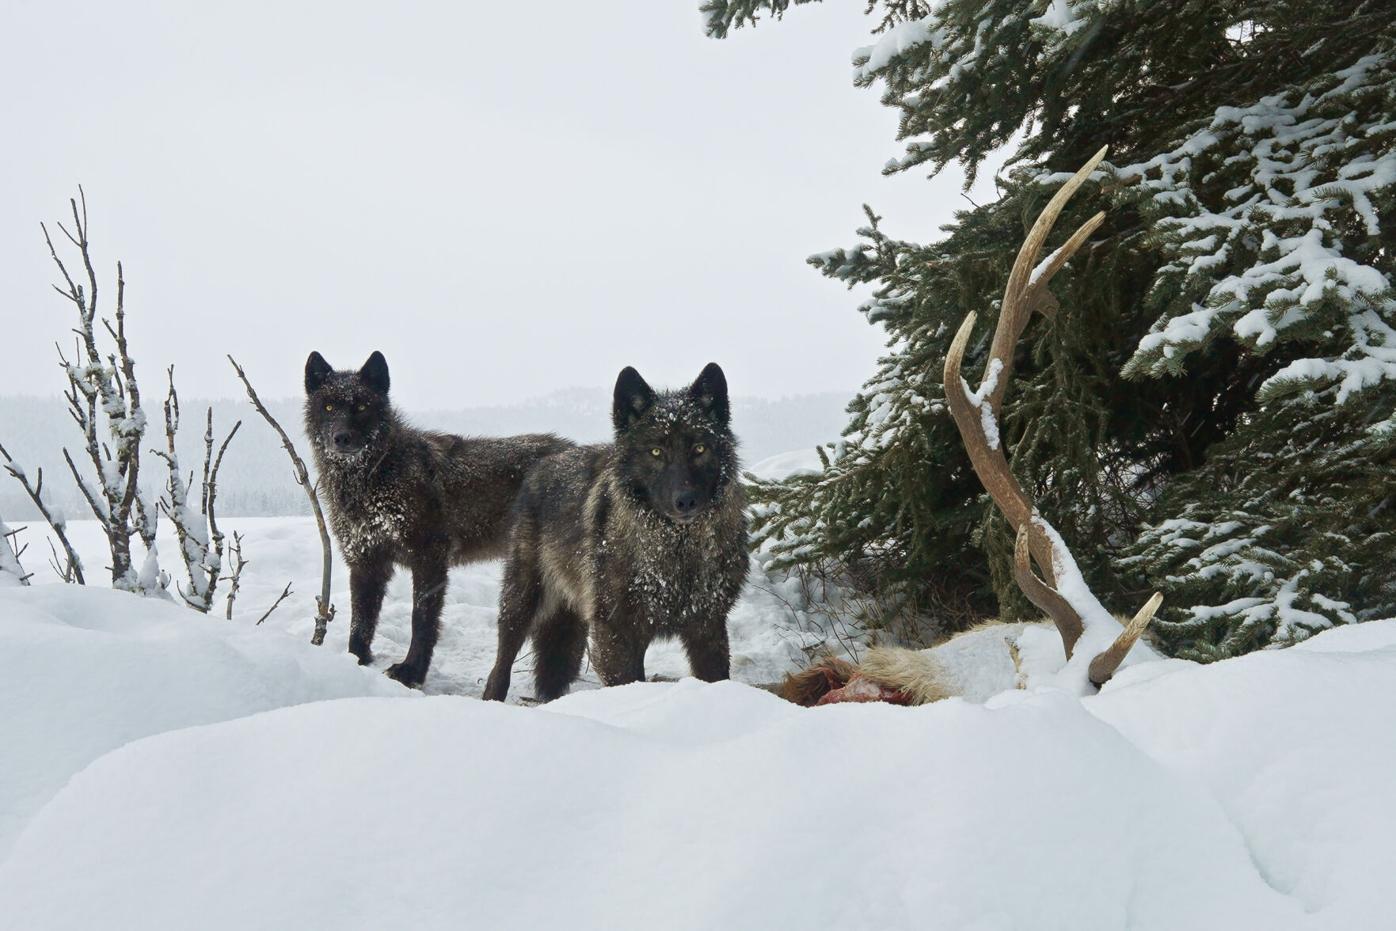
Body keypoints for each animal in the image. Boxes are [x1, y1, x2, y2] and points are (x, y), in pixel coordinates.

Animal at [304, 351, 573, 687]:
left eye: (362, 406)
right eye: (328, 406)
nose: (341, 438)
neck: (376, 475)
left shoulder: (429, 560)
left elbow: (421, 622)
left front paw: (411, 672)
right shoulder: (366, 562)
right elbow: (360, 622)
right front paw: (355, 662)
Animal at [482, 362, 749, 702]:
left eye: (699, 448)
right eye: (656, 451)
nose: (686, 500)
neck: (674, 551)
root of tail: (543, 464)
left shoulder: (707, 626)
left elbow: (716, 677)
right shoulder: (616, 631)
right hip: (522, 600)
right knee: (501, 661)